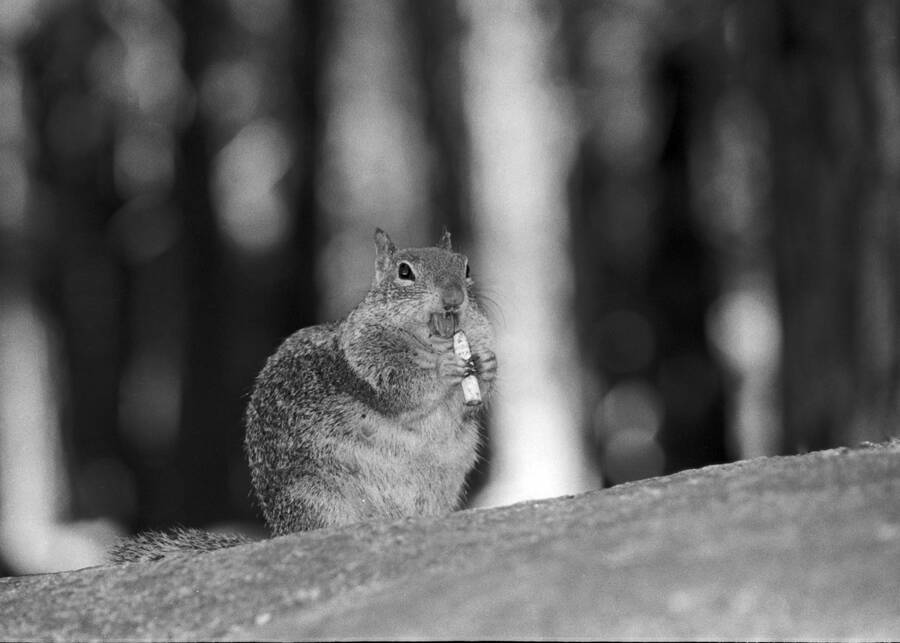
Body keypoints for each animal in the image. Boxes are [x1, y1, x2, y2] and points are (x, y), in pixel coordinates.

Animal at [110, 228, 497, 562]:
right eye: (404, 272)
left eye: (465, 267)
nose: (454, 298)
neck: (432, 344)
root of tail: (281, 532)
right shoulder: (366, 363)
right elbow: (402, 388)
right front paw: (443, 370)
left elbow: (469, 404)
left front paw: (487, 366)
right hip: (318, 498)